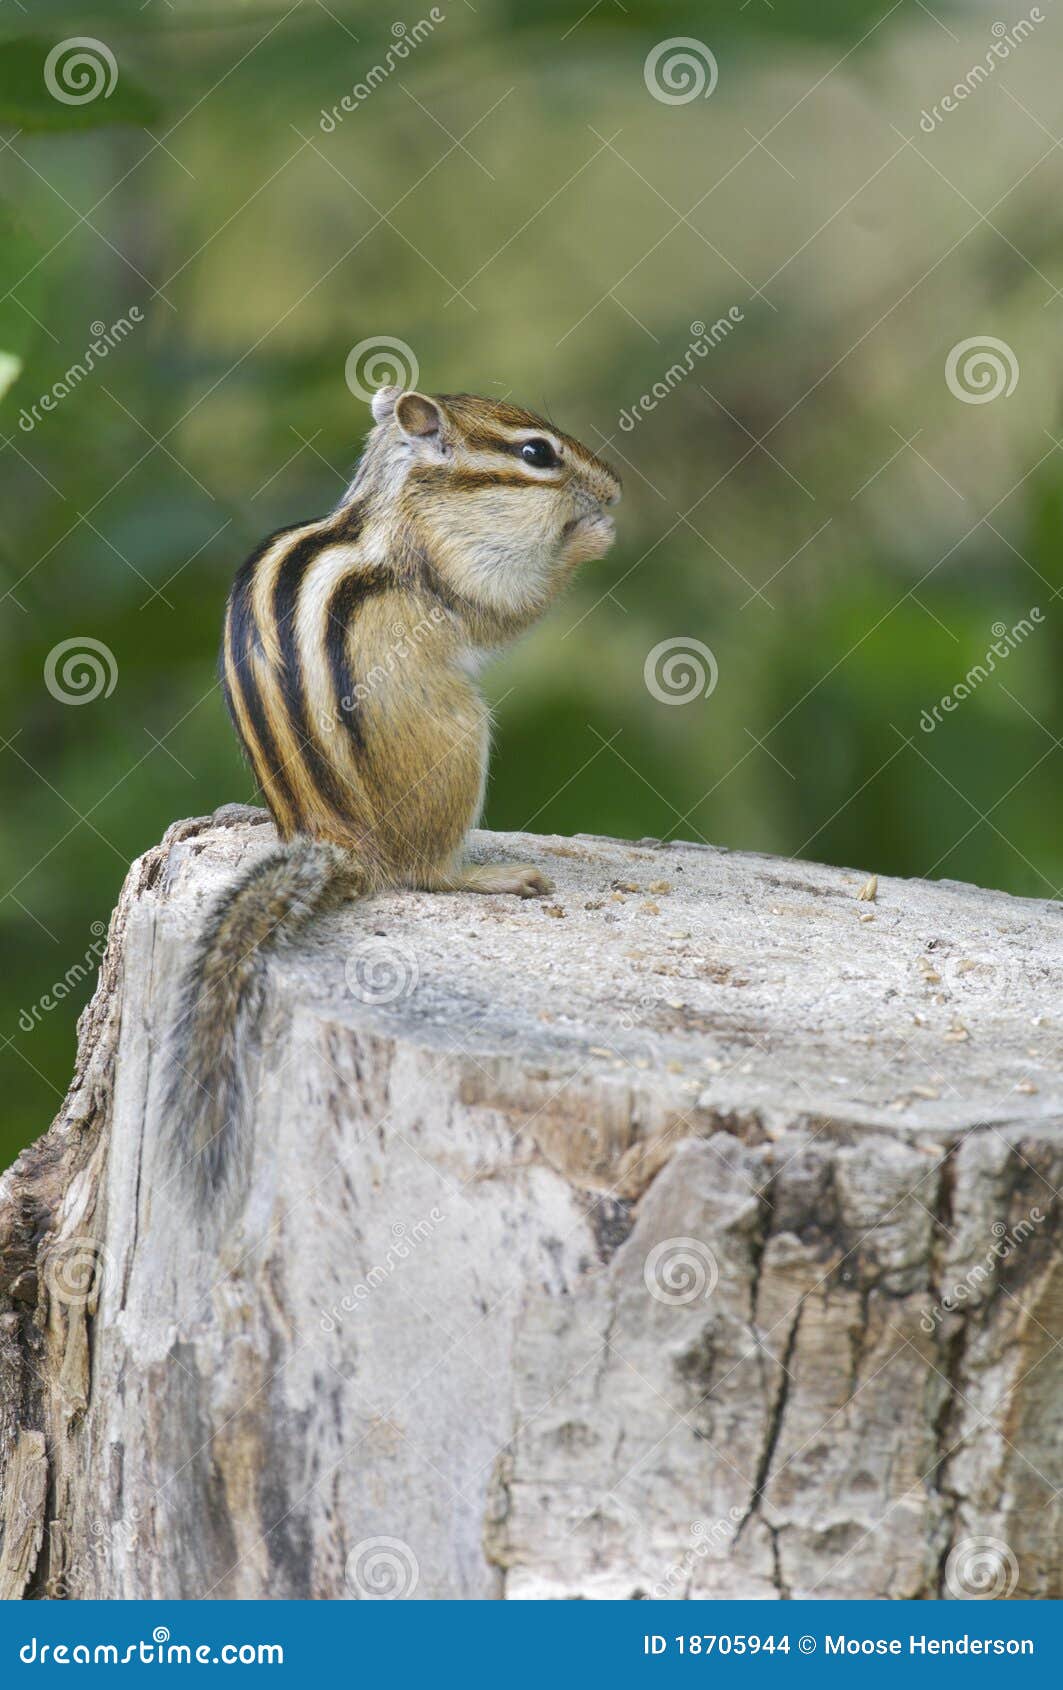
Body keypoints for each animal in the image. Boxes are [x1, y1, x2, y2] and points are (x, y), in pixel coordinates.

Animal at [165, 384, 622, 1208]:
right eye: (536, 454)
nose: (615, 489)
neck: (394, 503)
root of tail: (338, 845)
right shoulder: (457, 565)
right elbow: (508, 611)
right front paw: (590, 537)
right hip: (460, 739)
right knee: (425, 872)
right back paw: (491, 876)